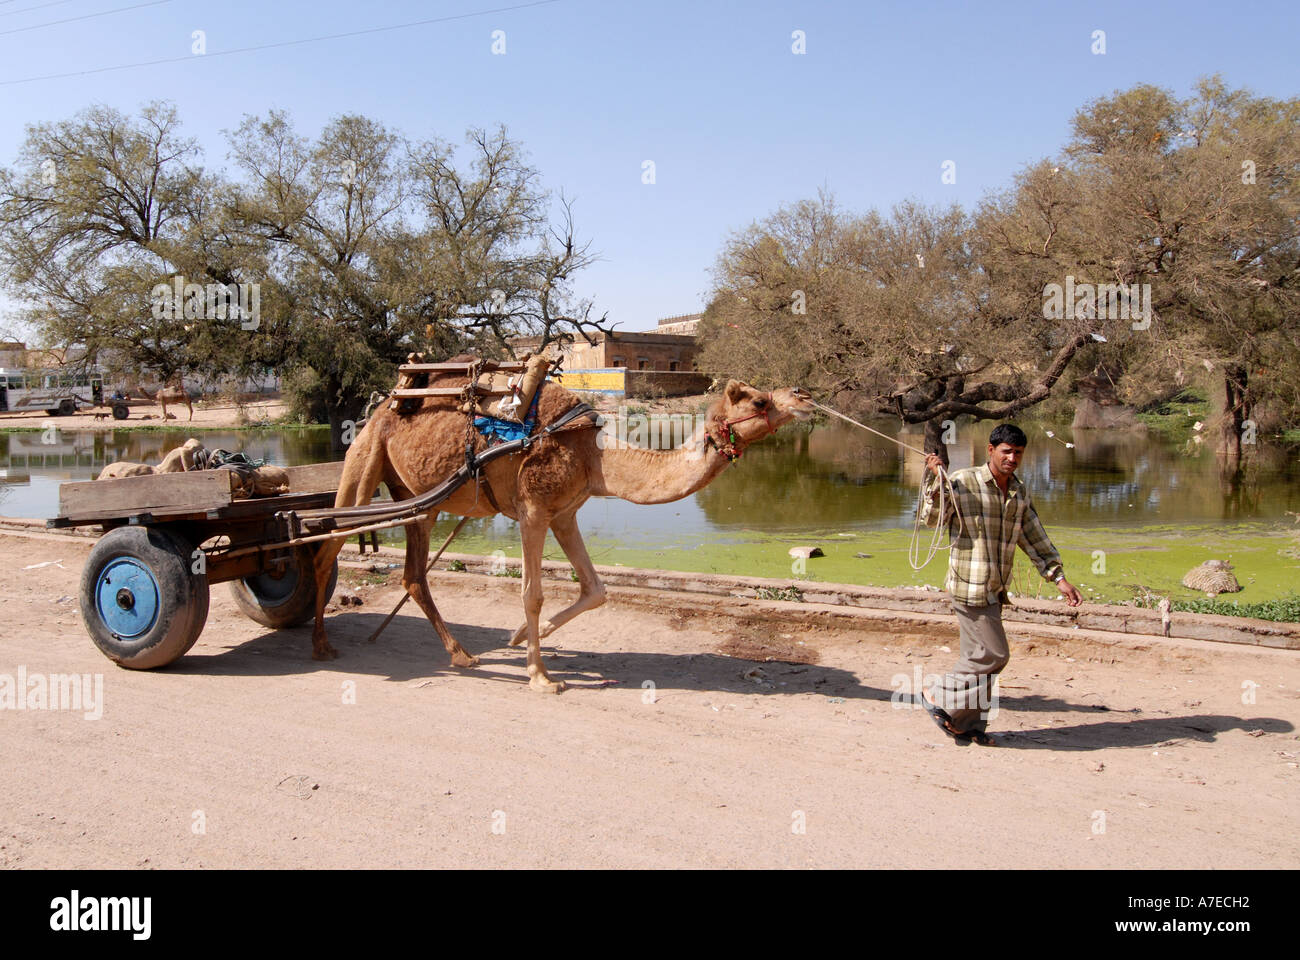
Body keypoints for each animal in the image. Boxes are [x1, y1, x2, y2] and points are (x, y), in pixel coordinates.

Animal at [309, 373, 815, 692]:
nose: (804, 396)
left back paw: (462, 655)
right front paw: (540, 677)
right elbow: (531, 593)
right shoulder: (533, 510)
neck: (596, 456)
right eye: (758, 401)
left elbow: (596, 589)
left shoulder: (565, 513)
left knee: (413, 573)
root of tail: (381, 407)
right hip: (363, 463)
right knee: (325, 546)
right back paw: (322, 646)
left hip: (419, 501)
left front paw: (516, 640)